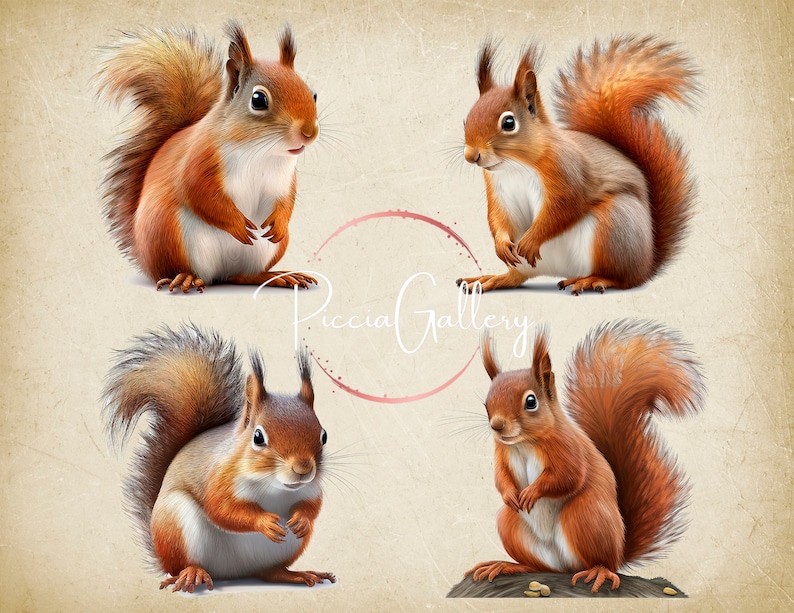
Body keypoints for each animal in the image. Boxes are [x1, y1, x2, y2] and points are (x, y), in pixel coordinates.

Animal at [95, 21, 320, 293]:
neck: (261, 151)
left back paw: (275, 276)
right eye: (258, 100)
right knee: (182, 269)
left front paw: (280, 223)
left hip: (266, 251)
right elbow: (199, 191)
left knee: (243, 276)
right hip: (168, 232)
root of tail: (220, 276)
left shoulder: (284, 179)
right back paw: (187, 278)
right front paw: (236, 224)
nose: (308, 132)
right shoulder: (199, 157)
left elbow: (286, 202)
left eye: (313, 94)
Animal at [101, 323, 335, 592]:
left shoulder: (311, 488)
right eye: (258, 437)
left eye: (324, 435)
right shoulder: (219, 477)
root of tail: (233, 574)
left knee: (270, 572)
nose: (303, 469)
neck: (274, 486)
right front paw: (264, 522)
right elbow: (222, 509)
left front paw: (302, 520)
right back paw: (192, 573)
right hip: (176, 523)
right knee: (183, 564)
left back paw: (296, 574)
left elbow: (313, 505)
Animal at [455, 36, 699, 294]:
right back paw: (491, 279)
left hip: (615, 228)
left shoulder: (567, 171)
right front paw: (501, 245)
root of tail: (648, 262)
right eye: (467, 118)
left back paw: (592, 280)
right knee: (516, 278)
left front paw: (532, 240)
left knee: (624, 279)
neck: (515, 166)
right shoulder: (498, 190)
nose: (471, 155)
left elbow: (564, 207)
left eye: (509, 123)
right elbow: (498, 218)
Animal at [465, 319, 705, 592]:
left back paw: (599, 571)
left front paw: (532, 492)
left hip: (585, 516)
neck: (524, 443)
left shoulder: (569, 448)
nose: (497, 425)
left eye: (531, 401)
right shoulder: (502, 453)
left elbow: (568, 476)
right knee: (539, 566)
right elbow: (501, 477)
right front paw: (510, 495)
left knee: (600, 561)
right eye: (486, 403)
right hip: (511, 524)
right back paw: (506, 565)